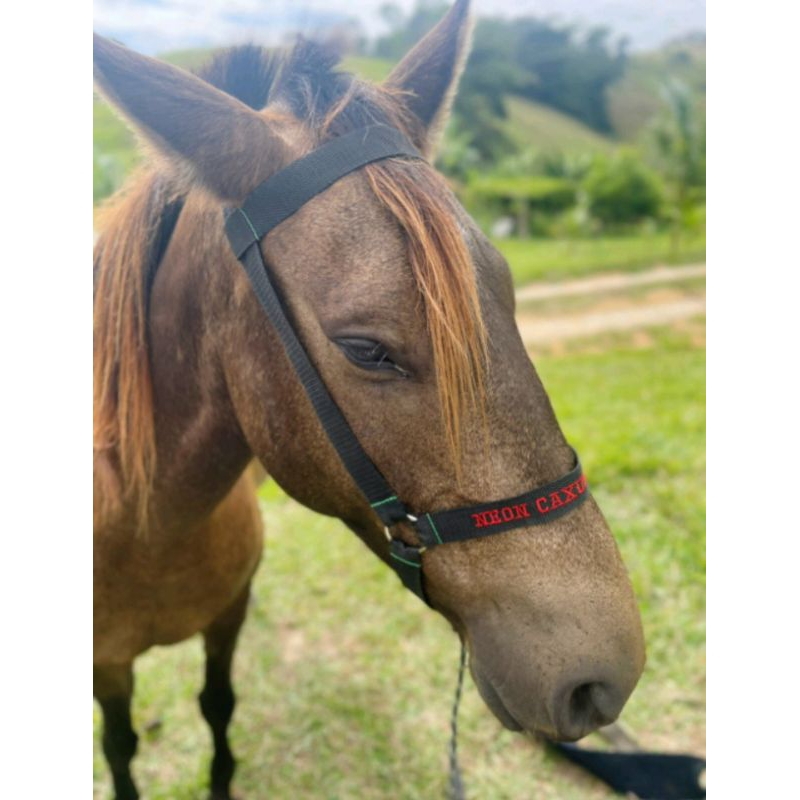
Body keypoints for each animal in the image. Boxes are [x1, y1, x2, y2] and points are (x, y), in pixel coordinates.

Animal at [93, 2, 645, 798]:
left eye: (507, 296)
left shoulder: (228, 618)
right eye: (365, 350)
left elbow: (218, 706)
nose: (602, 678)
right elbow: (121, 745)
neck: (148, 522)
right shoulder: (108, 666)